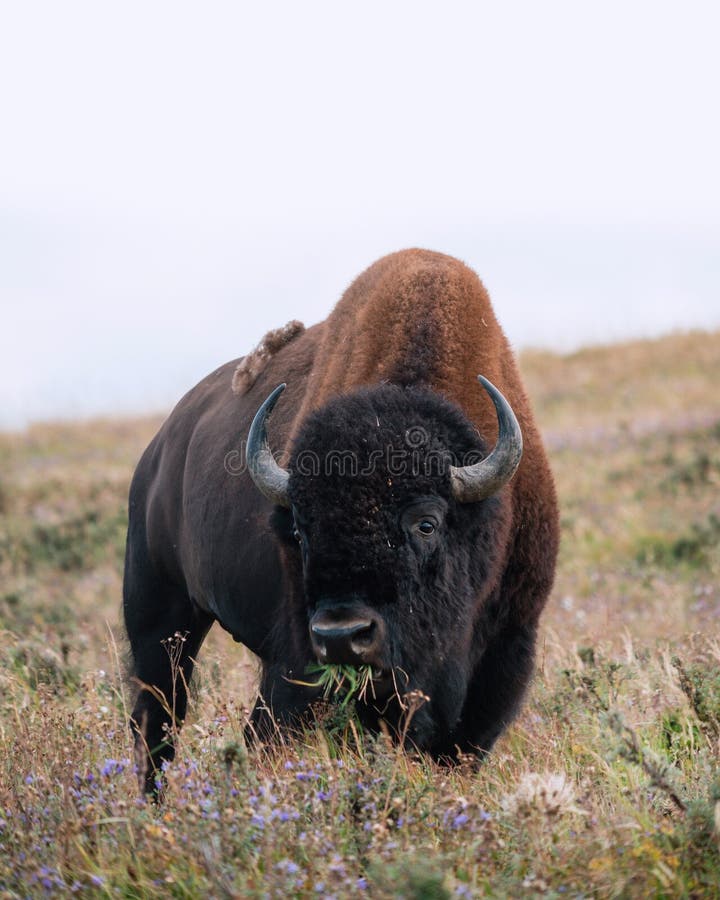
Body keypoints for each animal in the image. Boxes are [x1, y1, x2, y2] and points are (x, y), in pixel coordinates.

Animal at [124, 248, 559, 794]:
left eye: (427, 523)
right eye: (300, 530)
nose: (341, 635)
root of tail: (158, 453)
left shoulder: (506, 653)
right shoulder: (295, 663)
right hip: (158, 615)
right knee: (157, 722)